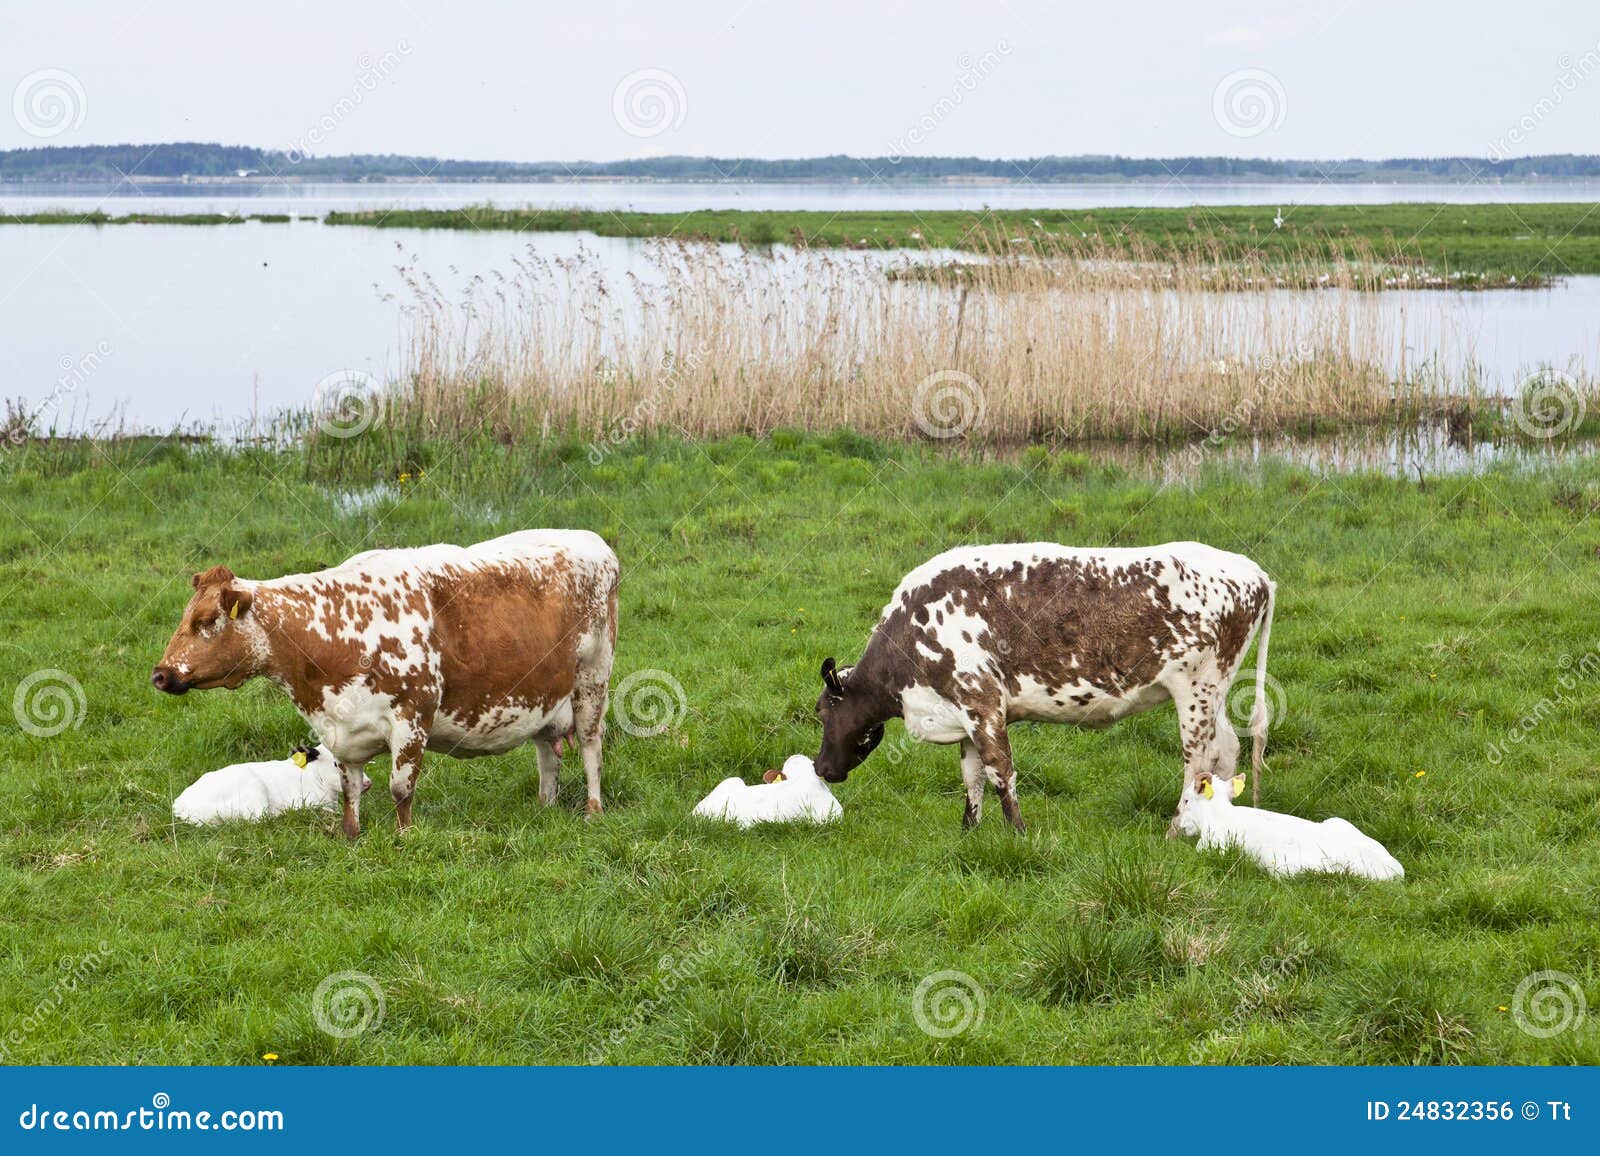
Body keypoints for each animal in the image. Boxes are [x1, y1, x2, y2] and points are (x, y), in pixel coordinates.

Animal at [151, 530, 619, 837]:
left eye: (206, 621)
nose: (160, 674)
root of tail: (591, 539)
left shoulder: (413, 717)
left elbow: (400, 787)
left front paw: (403, 836)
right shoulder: (341, 729)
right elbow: (349, 789)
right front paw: (352, 834)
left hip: (592, 682)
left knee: (592, 747)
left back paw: (593, 810)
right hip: (543, 697)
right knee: (547, 756)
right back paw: (544, 807)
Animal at [813, 541, 1275, 834]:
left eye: (821, 712)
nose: (820, 767)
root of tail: (1253, 571)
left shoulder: (982, 702)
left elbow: (1000, 772)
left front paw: (1018, 833)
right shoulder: (963, 712)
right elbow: (972, 775)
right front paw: (968, 831)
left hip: (1197, 688)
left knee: (1198, 760)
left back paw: (1177, 829)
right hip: (1214, 693)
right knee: (1228, 748)